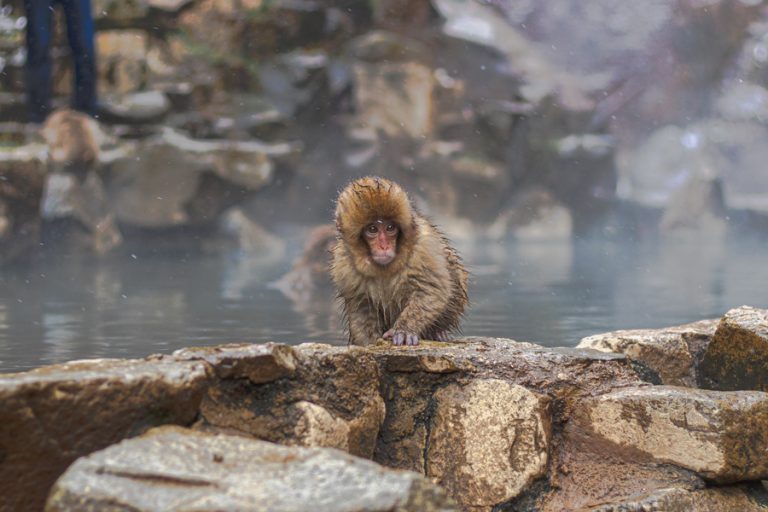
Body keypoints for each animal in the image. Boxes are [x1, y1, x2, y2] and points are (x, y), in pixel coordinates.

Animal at [331, 177, 468, 346]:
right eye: (372, 229)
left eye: (390, 227)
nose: (384, 246)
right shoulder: (342, 262)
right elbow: (361, 306)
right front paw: (369, 343)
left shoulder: (424, 247)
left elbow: (431, 289)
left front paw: (404, 330)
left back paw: (438, 333)